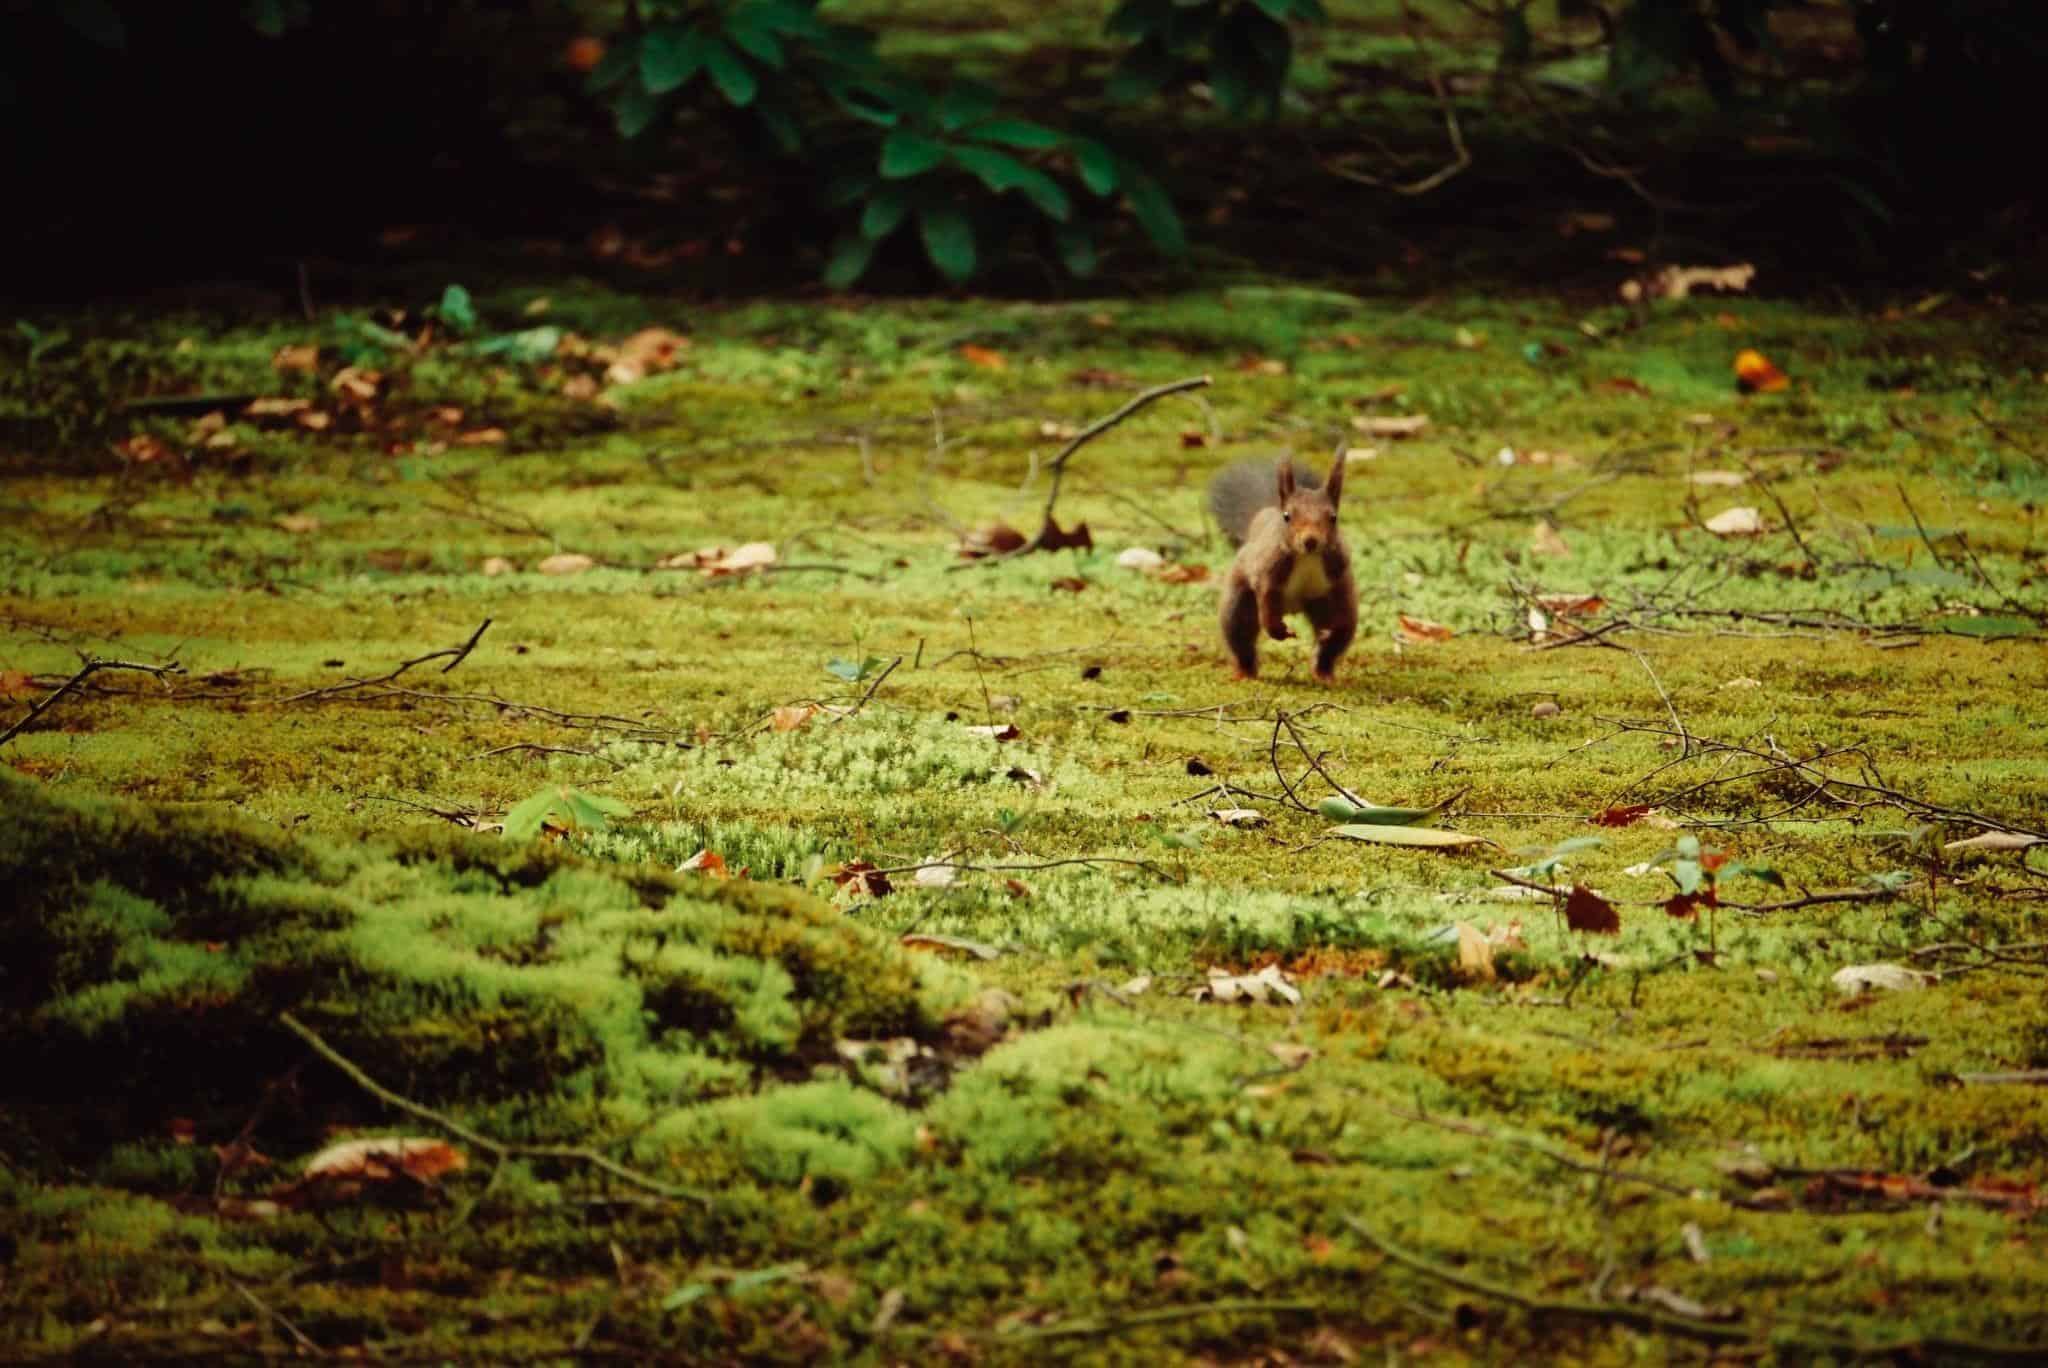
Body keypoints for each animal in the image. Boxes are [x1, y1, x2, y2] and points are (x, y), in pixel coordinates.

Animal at [1208, 452, 1358, 683]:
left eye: (1334, 518)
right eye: (1287, 516)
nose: (1310, 541)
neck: (1307, 557)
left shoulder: (1338, 573)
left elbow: (1339, 613)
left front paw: (1331, 631)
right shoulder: (1267, 572)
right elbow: (1266, 601)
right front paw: (1279, 631)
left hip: (1319, 602)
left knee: (1332, 646)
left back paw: (1324, 673)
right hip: (1239, 599)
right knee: (1240, 634)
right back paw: (1245, 672)